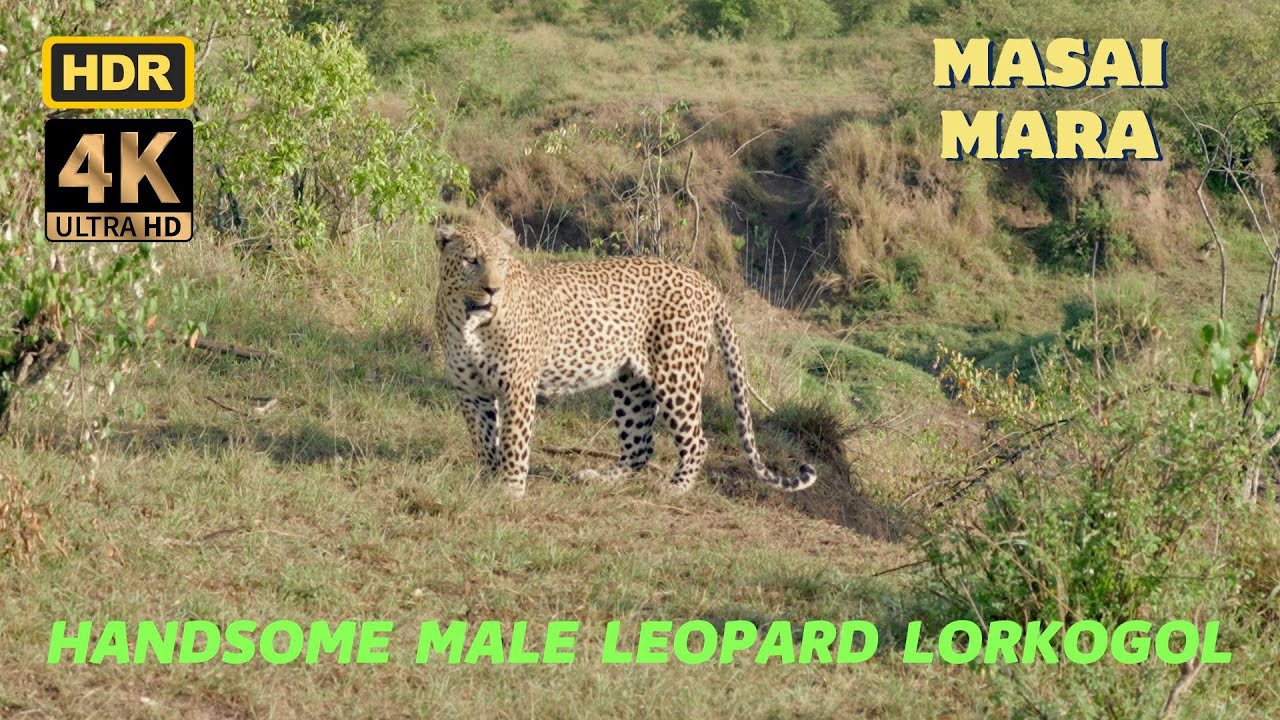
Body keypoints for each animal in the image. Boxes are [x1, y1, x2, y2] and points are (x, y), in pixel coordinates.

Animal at [433, 221, 817, 498]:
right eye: (471, 260)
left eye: (501, 262)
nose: (492, 289)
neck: (470, 320)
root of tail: (703, 281)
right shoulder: (470, 390)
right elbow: (483, 437)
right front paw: (487, 477)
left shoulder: (517, 386)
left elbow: (514, 439)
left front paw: (511, 487)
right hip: (632, 384)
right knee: (640, 445)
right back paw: (602, 479)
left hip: (676, 375)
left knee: (696, 440)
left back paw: (675, 488)